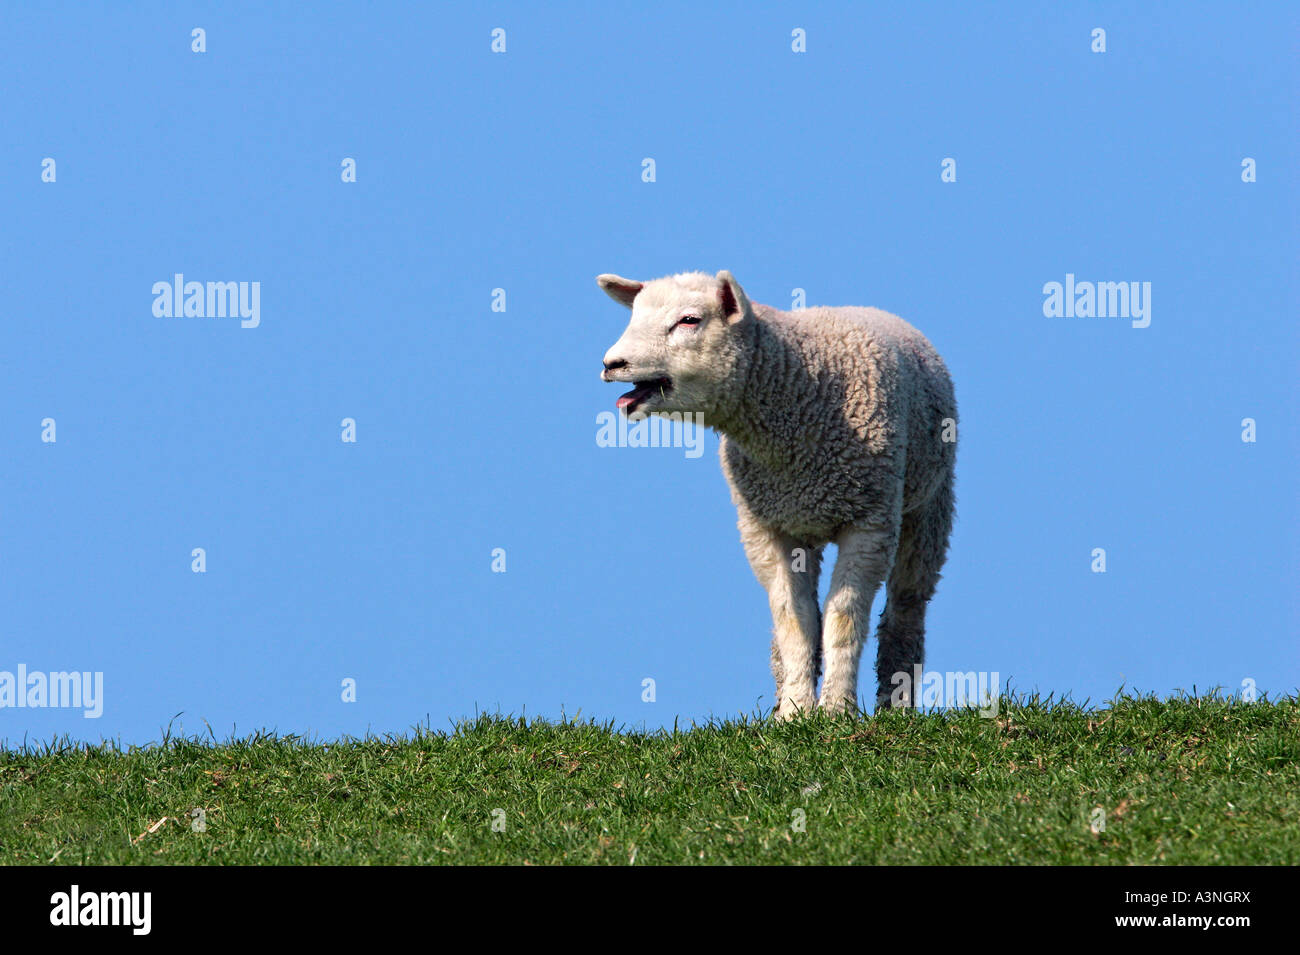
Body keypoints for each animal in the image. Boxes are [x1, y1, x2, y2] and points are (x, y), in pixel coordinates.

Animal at [598, 270, 957, 718]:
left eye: (689, 320)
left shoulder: (870, 522)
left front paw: (836, 710)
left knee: (907, 603)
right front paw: (795, 712)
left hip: (929, 503)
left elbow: (844, 616)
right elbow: (793, 619)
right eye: (635, 315)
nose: (612, 364)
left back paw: (896, 704)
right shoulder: (766, 529)